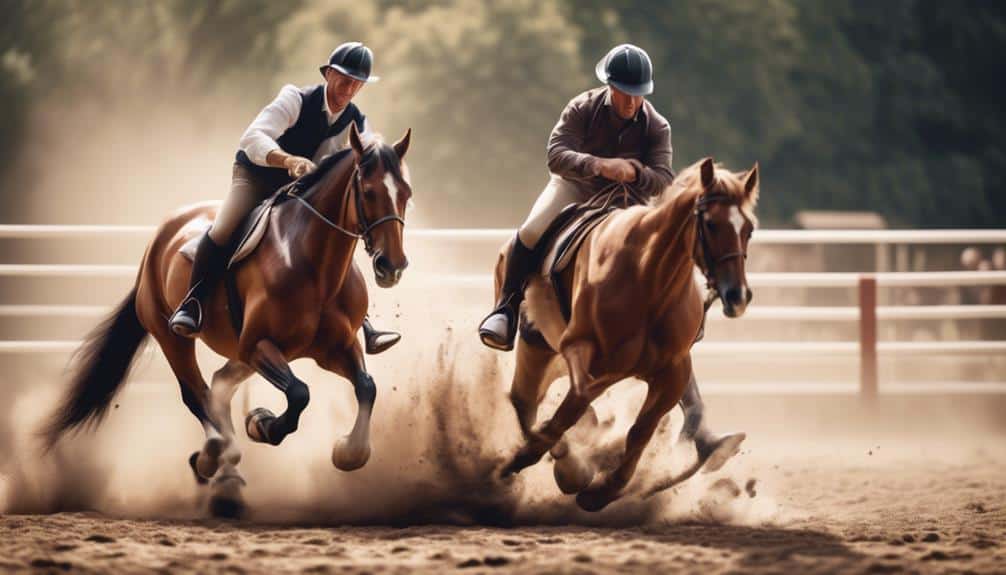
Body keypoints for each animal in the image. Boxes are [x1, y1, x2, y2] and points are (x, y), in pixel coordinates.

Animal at [41, 124, 413, 517]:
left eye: (406, 193)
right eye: (369, 192)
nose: (392, 266)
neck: (314, 267)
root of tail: (160, 237)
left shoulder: (336, 347)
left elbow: (366, 387)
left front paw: (348, 452)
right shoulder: (258, 346)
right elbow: (299, 393)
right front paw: (261, 425)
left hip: (241, 355)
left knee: (219, 386)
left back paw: (225, 470)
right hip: (173, 337)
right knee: (197, 394)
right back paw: (214, 459)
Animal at [497, 157, 759, 512]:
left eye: (748, 229)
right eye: (712, 224)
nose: (737, 296)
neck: (648, 281)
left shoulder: (673, 369)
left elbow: (641, 430)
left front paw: (602, 491)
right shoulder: (579, 347)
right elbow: (576, 402)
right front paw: (570, 467)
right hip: (536, 347)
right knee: (524, 402)